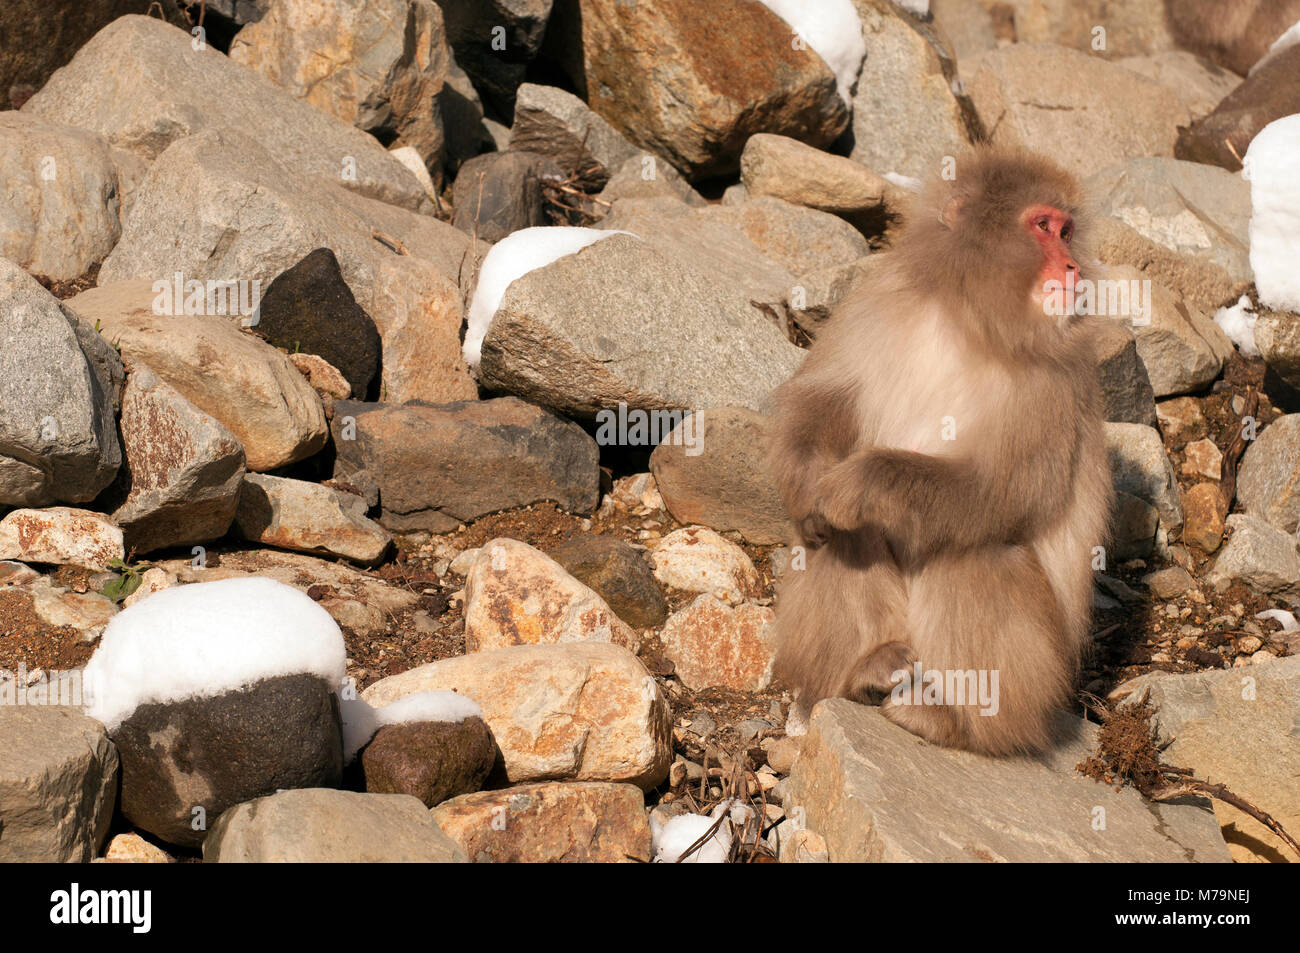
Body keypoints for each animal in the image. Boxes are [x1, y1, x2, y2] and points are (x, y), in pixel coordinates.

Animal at [768, 147, 1112, 756]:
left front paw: (863, 480)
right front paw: (808, 481)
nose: (1072, 267)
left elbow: (1006, 489)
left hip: (1038, 682)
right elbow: (820, 400)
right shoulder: (872, 305)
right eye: (1044, 227)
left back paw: (957, 721)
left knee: (972, 549)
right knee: (844, 537)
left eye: (1068, 232)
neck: (966, 320)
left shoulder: (1053, 383)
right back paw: (866, 669)